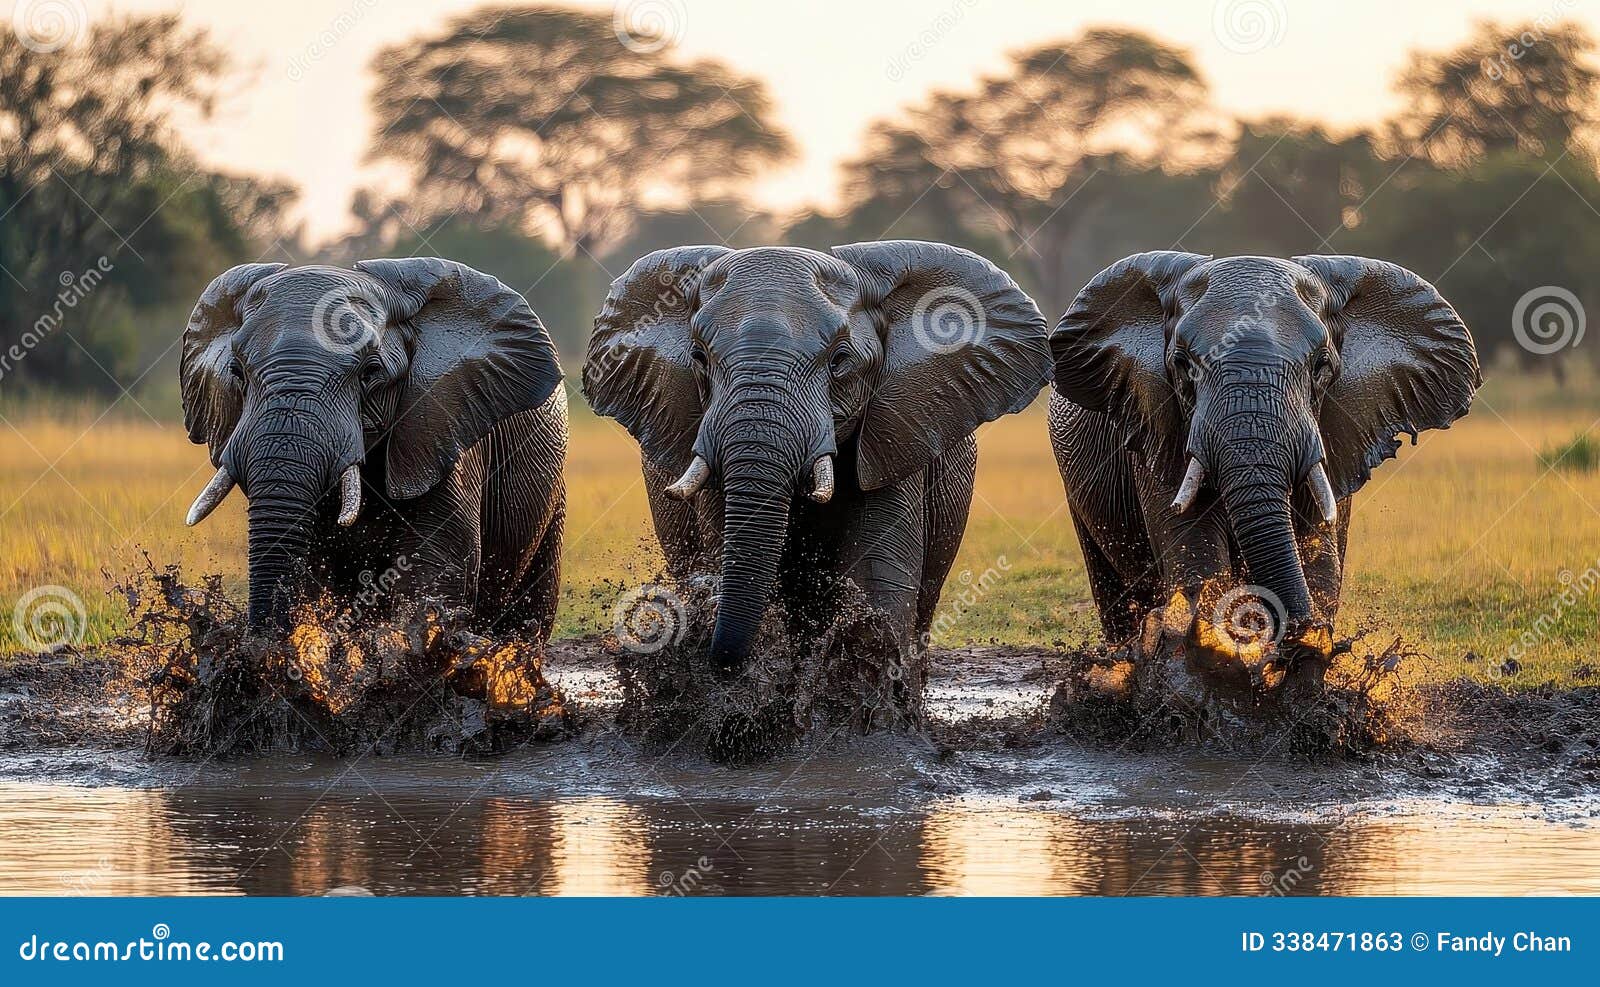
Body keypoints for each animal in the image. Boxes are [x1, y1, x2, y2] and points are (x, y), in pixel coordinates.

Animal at [1049, 252, 1480, 679]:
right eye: (1183, 365)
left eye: (1322, 365)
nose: (1291, 645)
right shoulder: (1156, 423)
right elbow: (1194, 549)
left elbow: (1320, 556)